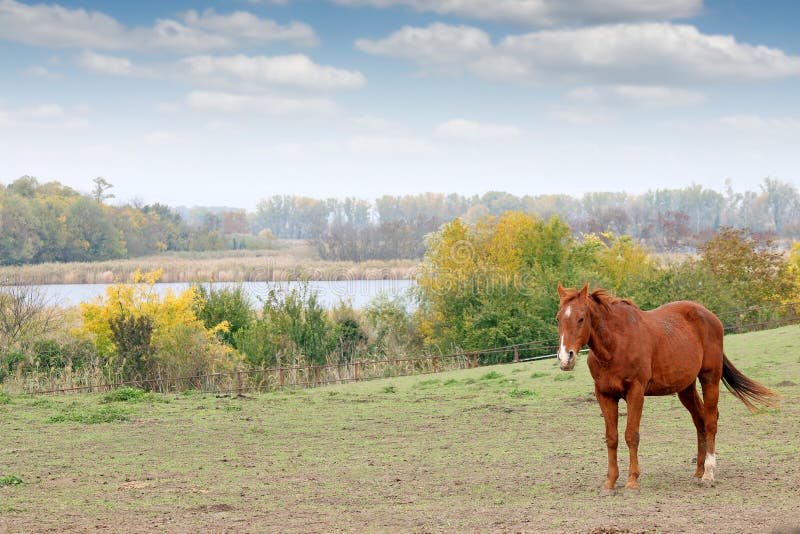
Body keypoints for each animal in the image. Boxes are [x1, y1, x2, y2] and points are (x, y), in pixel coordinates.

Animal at [555, 283, 778, 492]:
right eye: (558, 319)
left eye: (581, 318)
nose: (566, 358)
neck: (616, 344)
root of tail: (710, 316)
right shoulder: (604, 394)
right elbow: (612, 438)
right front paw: (610, 483)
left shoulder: (635, 392)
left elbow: (631, 435)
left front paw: (632, 481)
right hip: (686, 388)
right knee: (700, 421)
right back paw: (698, 470)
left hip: (709, 378)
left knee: (710, 421)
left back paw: (708, 473)